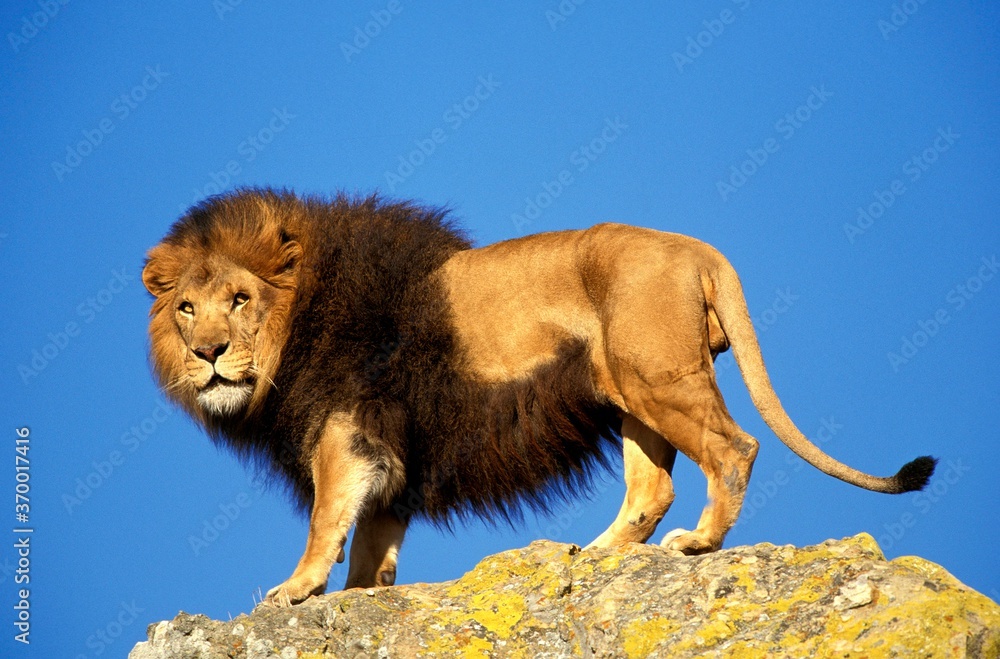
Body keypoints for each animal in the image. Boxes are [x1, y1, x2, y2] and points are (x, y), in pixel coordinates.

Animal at [141, 188, 935, 606]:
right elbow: (373, 538)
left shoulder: (348, 425)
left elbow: (325, 517)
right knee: (652, 488)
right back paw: (594, 556)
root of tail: (697, 248)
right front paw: (365, 593)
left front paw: (297, 588)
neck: (294, 324)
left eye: (239, 300)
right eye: (186, 308)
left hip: (658, 377)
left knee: (734, 448)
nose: (206, 354)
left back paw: (700, 542)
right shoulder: (396, 451)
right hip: (626, 394)